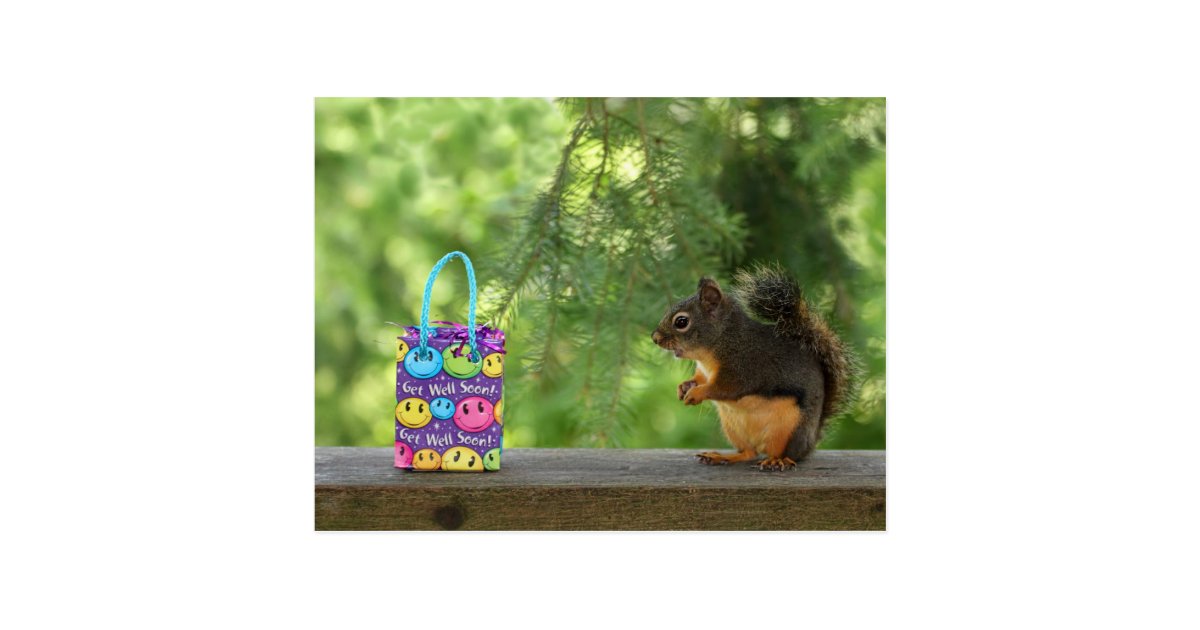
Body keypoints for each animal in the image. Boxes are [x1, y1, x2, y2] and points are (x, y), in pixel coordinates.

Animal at [651, 264, 856, 471]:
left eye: (681, 322)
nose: (655, 338)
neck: (719, 342)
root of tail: (811, 441)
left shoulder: (742, 368)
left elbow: (723, 388)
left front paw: (697, 393)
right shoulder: (704, 372)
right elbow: (699, 379)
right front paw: (684, 386)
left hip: (789, 428)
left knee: (787, 454)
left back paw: (777, 460)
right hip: (733, 428)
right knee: (749, 453)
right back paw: (721, 457)